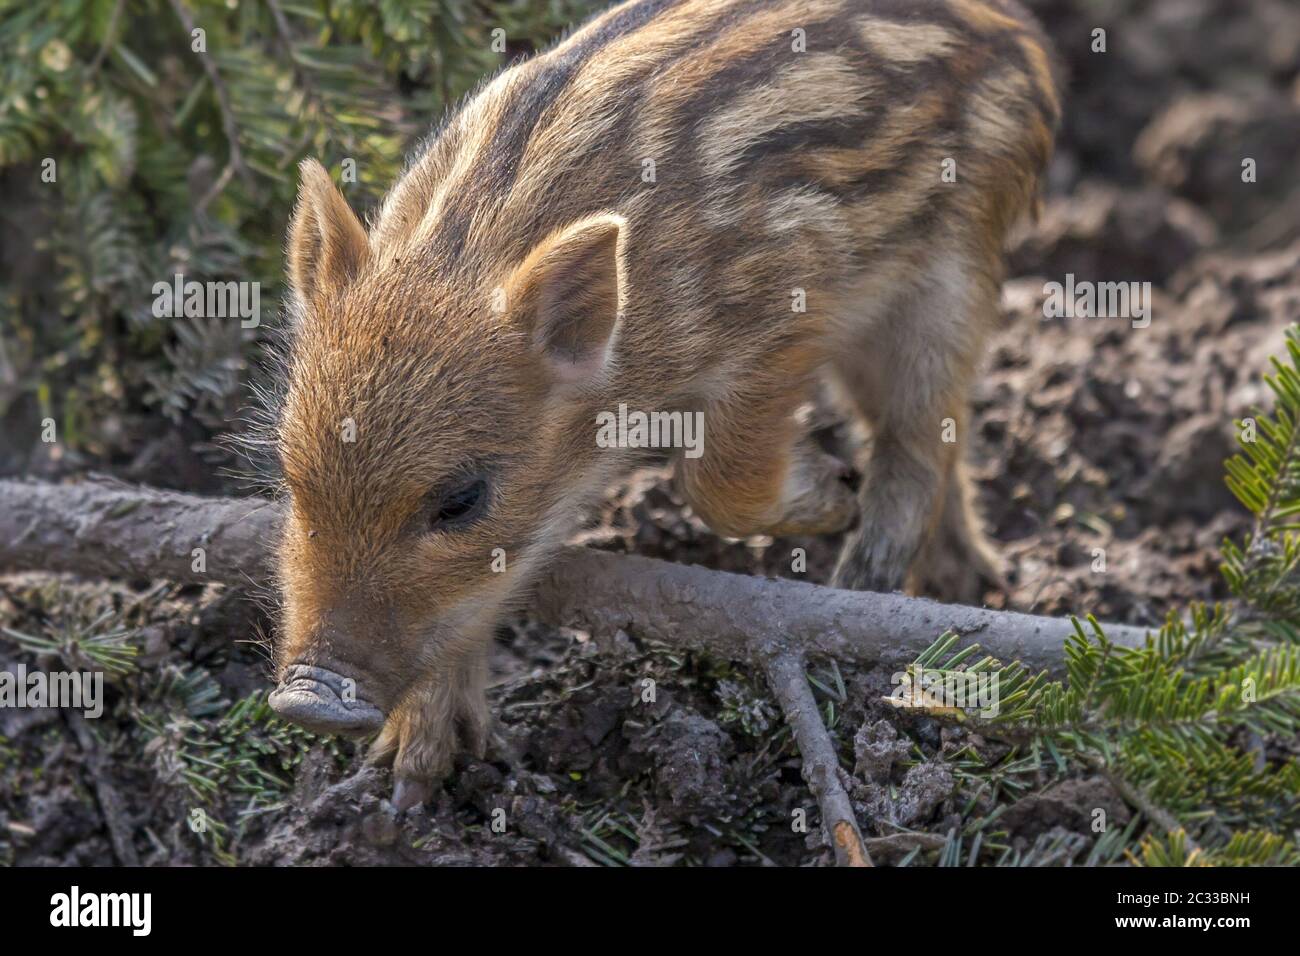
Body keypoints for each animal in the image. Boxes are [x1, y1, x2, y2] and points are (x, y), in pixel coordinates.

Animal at [266, 0, 1060, 807]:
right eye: (291, 480)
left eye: (461, 499)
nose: (309, 697)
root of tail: (1016, 34)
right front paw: (409, 770)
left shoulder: (789, 309)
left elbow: (719, 483)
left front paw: (834, 491)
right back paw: (961, 582)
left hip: (952, 270)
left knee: (922, 439)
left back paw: (871, 579)